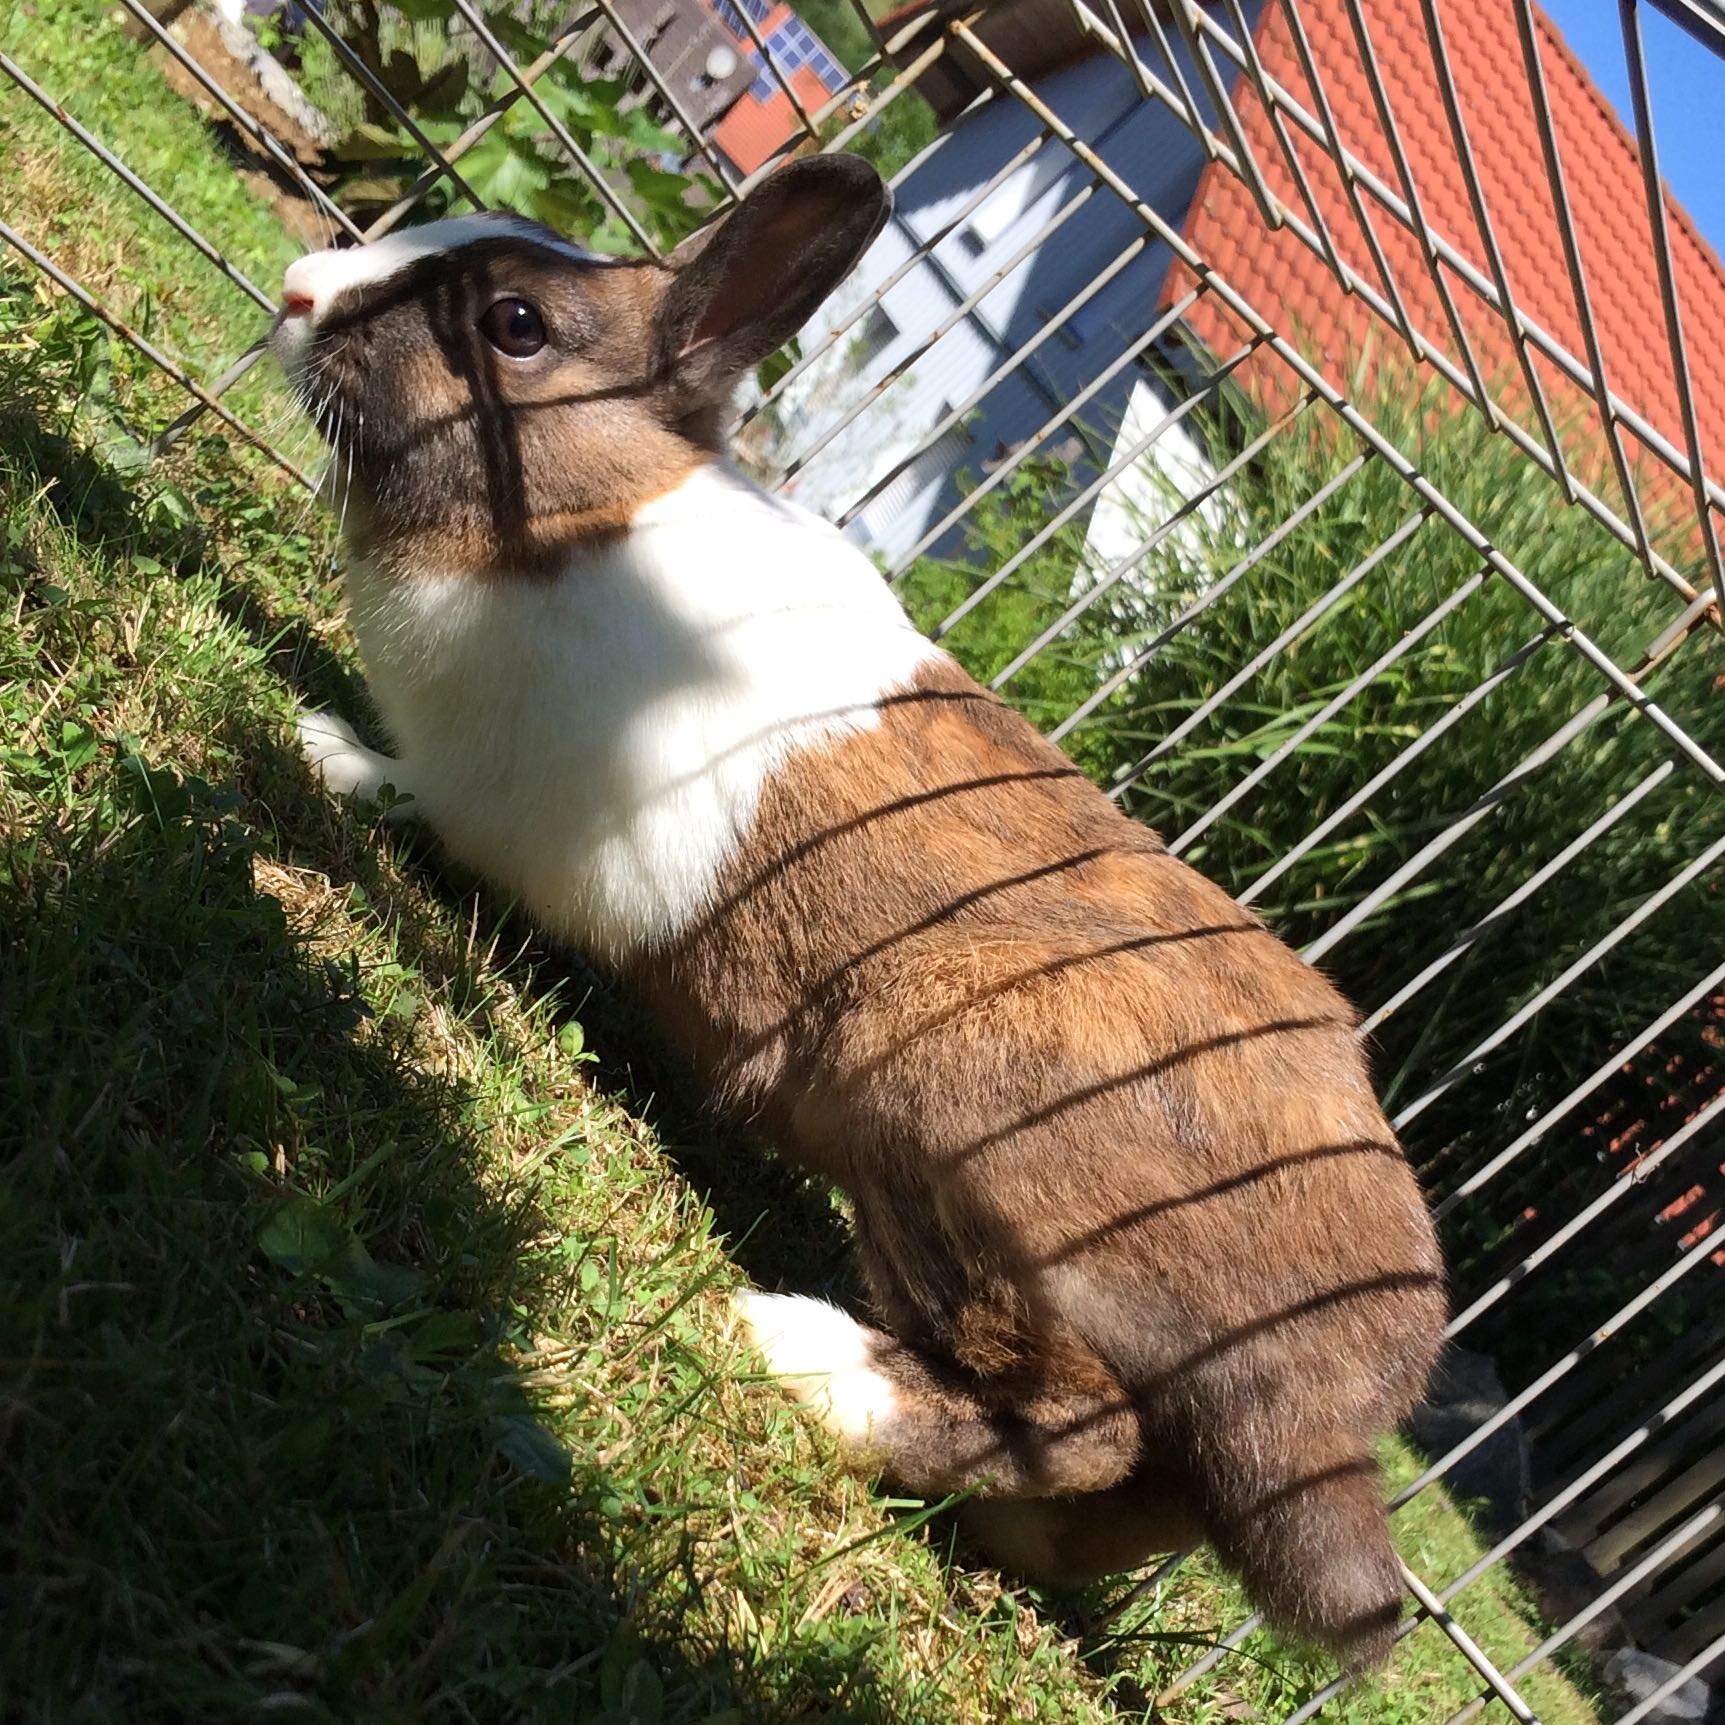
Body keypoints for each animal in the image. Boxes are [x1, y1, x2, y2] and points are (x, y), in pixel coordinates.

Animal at [273, 154, 1444, 1672]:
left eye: (515, 324)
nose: (301, 290)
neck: (578, 524)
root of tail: (1344, 1384)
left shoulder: (496, 799)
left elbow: (419, 799)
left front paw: (325, 751)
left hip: (948, 1107)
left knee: (1072, 1421)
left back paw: (798, 1351)